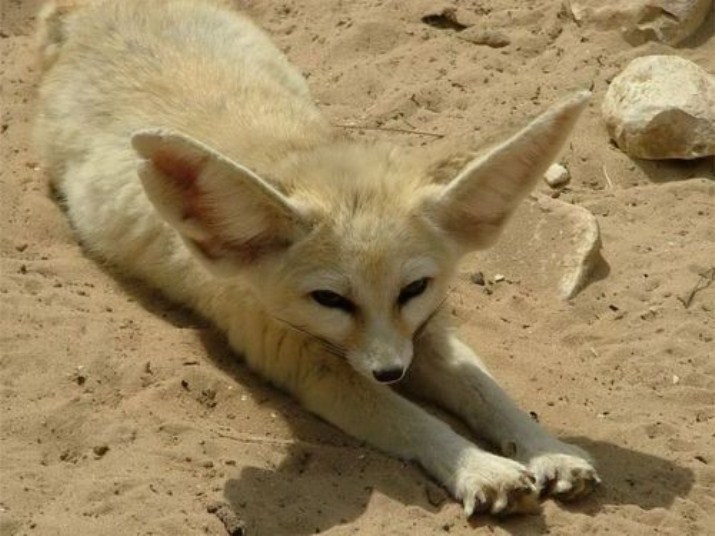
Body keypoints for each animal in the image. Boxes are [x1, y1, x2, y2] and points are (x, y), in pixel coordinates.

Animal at [35, 0, 600, 517]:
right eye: (329, 299)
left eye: (413, 289)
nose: (391, 372)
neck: (299, 158)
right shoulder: (306, 363)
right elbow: (413, 419)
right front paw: (478, 466)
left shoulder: (423, 332)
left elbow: (486, 390)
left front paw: (548, 449)